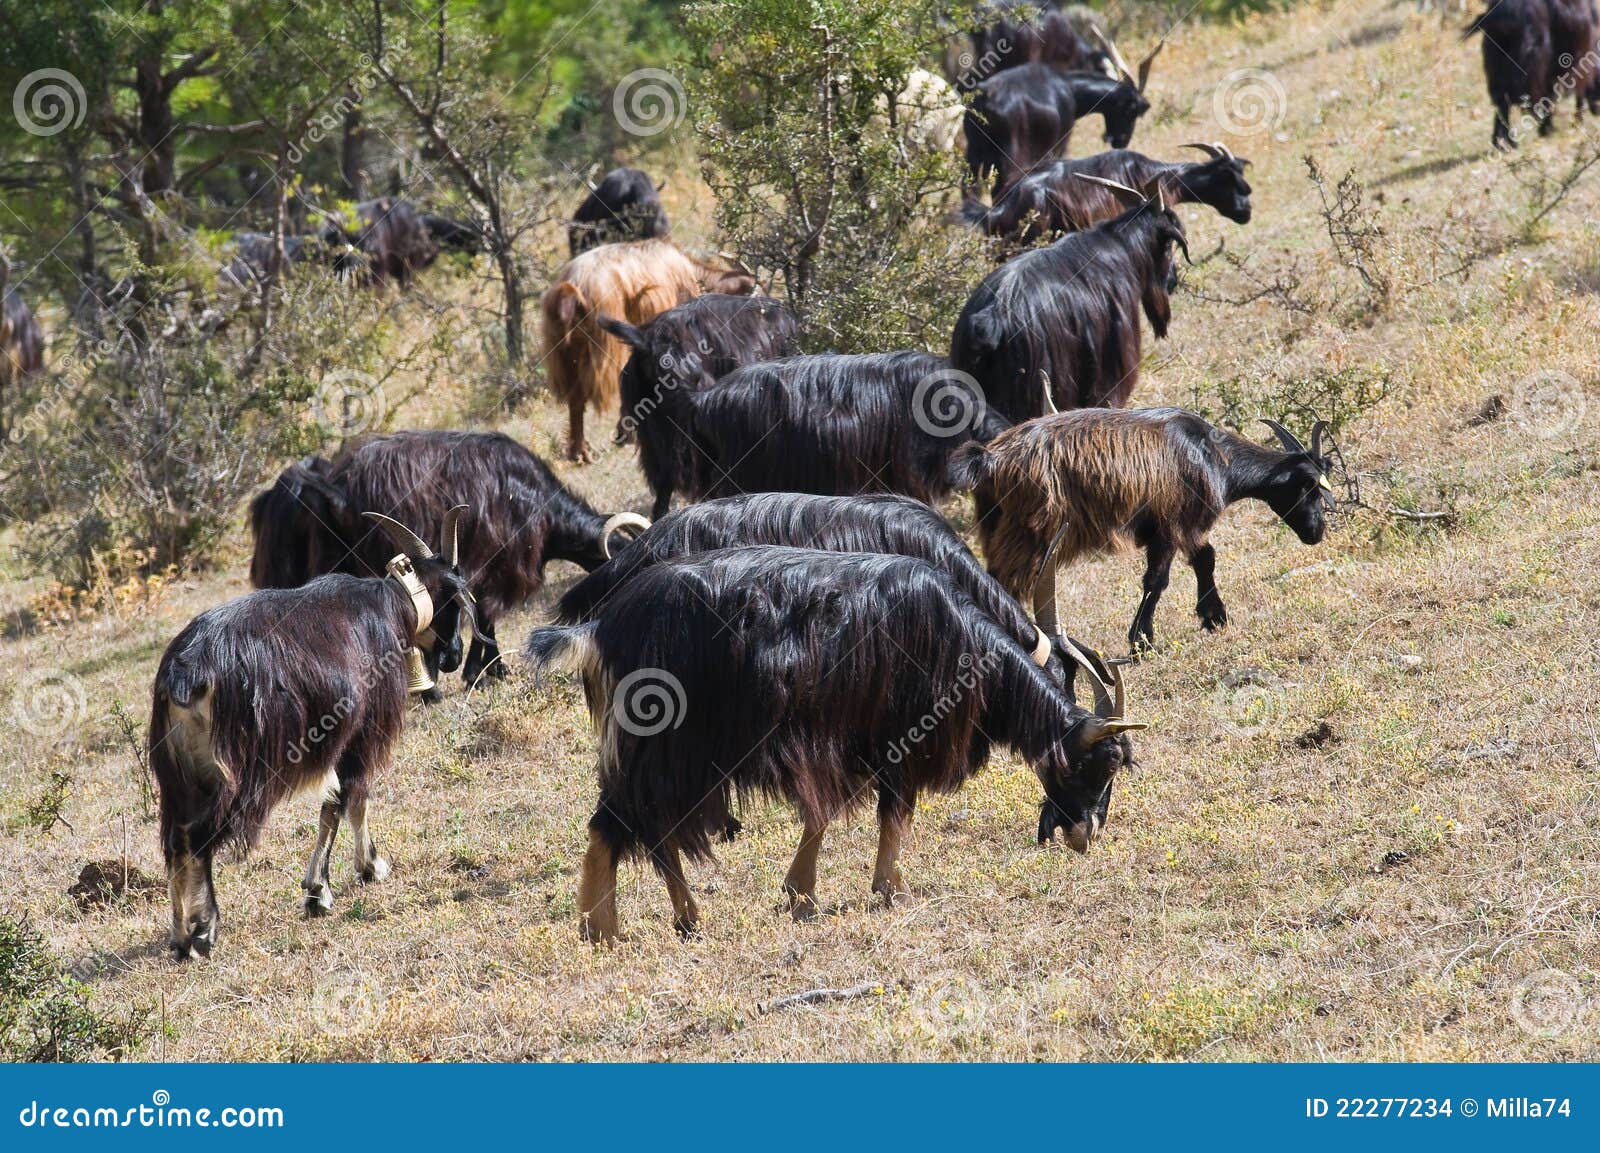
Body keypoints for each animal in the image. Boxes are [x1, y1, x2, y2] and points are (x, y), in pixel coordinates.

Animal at [150, 511, 475, 958]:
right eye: (454, 599)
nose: (454, 655)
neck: (390, 606)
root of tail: (186, 675)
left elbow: (333, 803)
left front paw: (320, 888)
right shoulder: (359, 730)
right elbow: (350, 798)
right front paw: (360, 872)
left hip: (179, 774)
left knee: (174, 840)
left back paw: (180, 935)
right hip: (241, 771)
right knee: (198, 837)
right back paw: (205, 929)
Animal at [526, 546, 1143, 942]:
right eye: (1103, 763)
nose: (1085, 836)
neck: (958, 639)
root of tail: (601, 629)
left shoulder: (847, 742)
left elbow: (825, 811)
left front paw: (800, 894)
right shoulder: (899, 736)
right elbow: (893, 812)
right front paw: (889, 890)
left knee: (636, 826)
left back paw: (641, 925)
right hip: (669, 745)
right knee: (629, 822)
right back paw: (627, 927)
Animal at [540, 239, 758, 463]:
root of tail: (571, 288)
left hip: (565, 353)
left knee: (575, 399)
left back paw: (580, 451)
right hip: (605, 350)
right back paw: (623, 437)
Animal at [948, 408, 1336, 652]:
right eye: (1310, 488)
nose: (1316, 532)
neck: (1213, 456)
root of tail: (990, 459)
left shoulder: (1183, 528)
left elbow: (1205, 560)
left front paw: (1214, 617)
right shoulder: (1172, 523)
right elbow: (1157, 580)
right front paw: (1142, 640)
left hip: (995, 525)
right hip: (1030, 531)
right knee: (1005, 580)